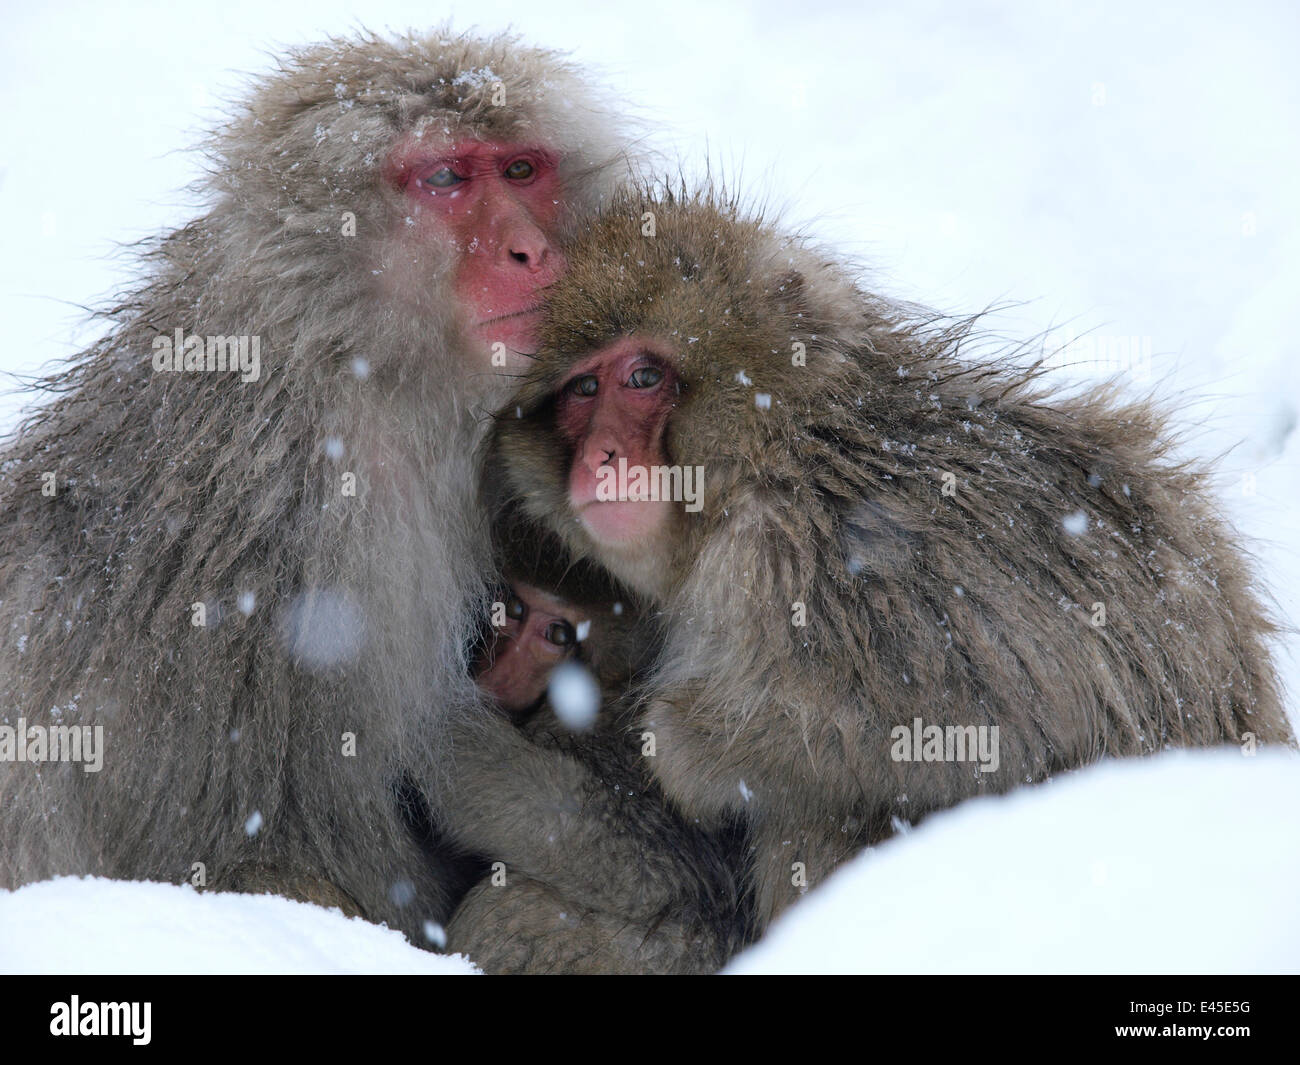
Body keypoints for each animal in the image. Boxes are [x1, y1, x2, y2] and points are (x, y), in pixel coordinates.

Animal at [0, 28, 649, 947]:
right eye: (446, 179)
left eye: (522, 169)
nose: (532, 249)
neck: (352, 354)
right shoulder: (292, 527)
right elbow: (267, 835)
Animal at [486, 187, 1296, 936]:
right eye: (583, 388)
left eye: (643, 377)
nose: (601, 455)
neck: (781, 446)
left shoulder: (814, 563)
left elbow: (983, 725)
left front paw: (686, 746)